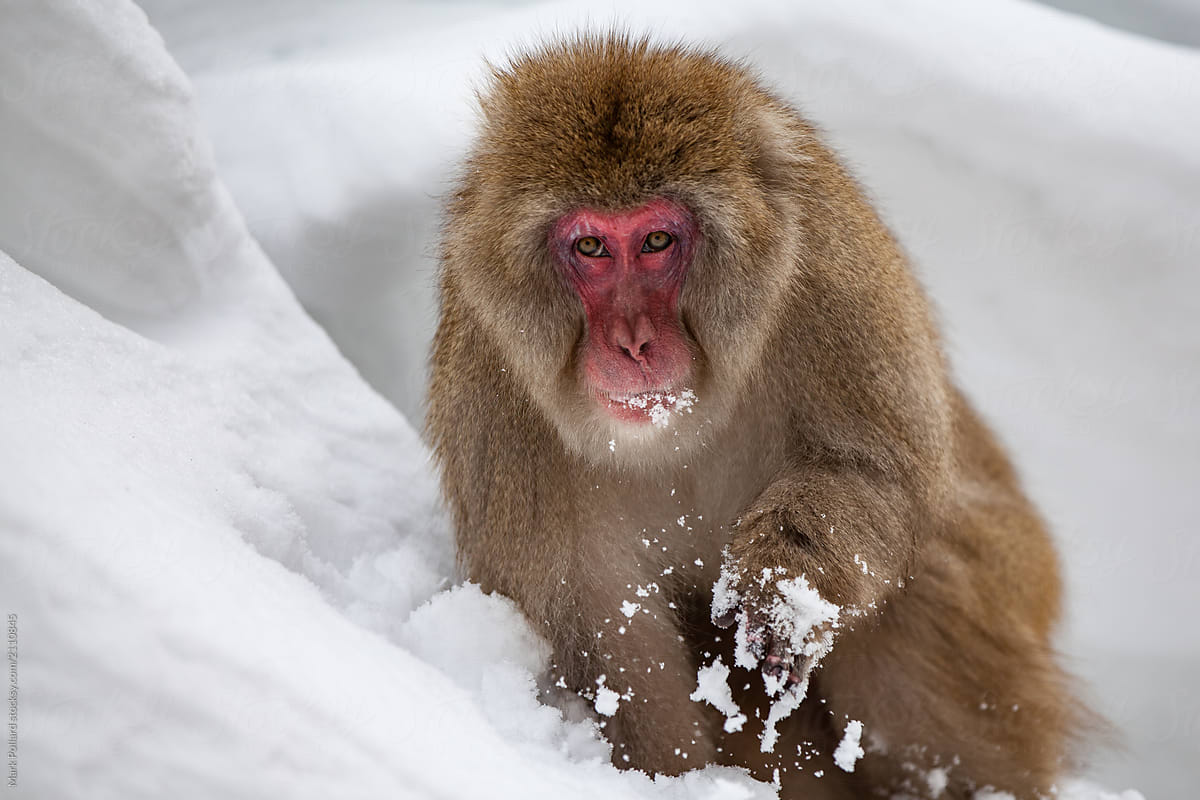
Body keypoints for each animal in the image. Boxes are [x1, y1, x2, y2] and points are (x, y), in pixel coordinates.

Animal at [428, 33, 1090, 799]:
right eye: (591, 247)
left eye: (656, 241)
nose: (631, 342)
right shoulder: (492, 392)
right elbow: (602, 631)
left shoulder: (831, 275)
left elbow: (881, 478)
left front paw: (781, 584)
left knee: (921, 585)